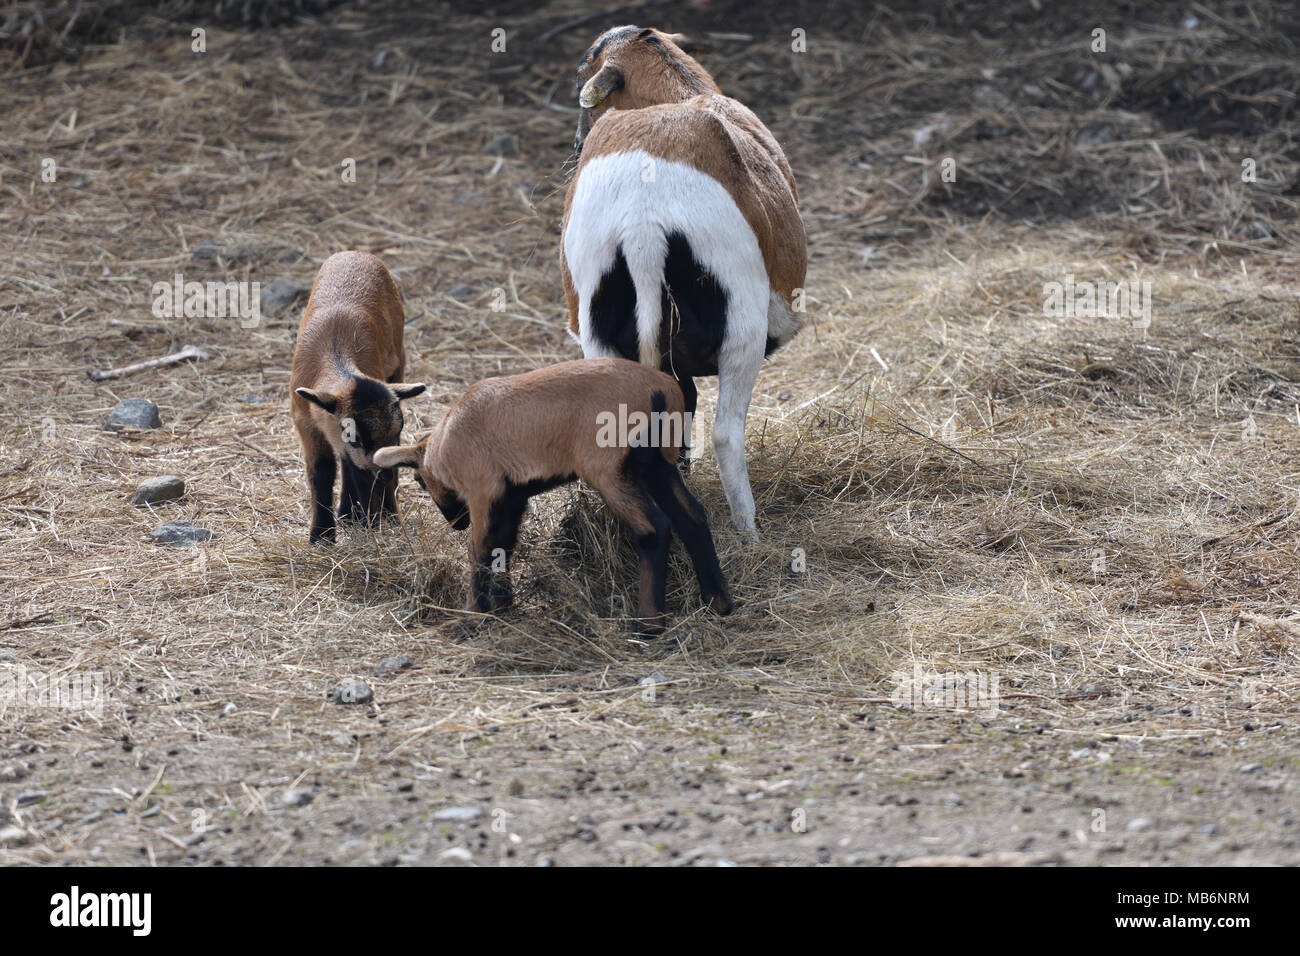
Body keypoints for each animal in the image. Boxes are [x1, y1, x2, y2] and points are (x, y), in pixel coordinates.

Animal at [290, 251, 426, 544]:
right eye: (355, 438)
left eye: (399, 432)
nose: (385, 472)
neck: (337, 358)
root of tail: (355, 253)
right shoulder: (305, 421)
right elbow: (323, 473)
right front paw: (321, 535)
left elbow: (362, 475)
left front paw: (375, 520)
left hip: (398, 361)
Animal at [373, 357, 733, 635]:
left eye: (419, 480)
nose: (456, 523)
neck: (448, 440)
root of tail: (660, 388)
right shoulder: (510, 496)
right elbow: (503, 544)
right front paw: (502, 606)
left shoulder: (483, 489)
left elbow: (480, 549)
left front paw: (471, 618)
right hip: (656, 463)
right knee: (692, 518)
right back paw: (718, 602)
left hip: (609, 468)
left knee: (653, 529)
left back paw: (649, 624)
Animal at [560, 26, 808, 540]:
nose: (575, 145)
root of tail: (643, 223)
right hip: (741, 329)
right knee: (726, 433)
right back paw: (749, 538)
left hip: (599, 334)